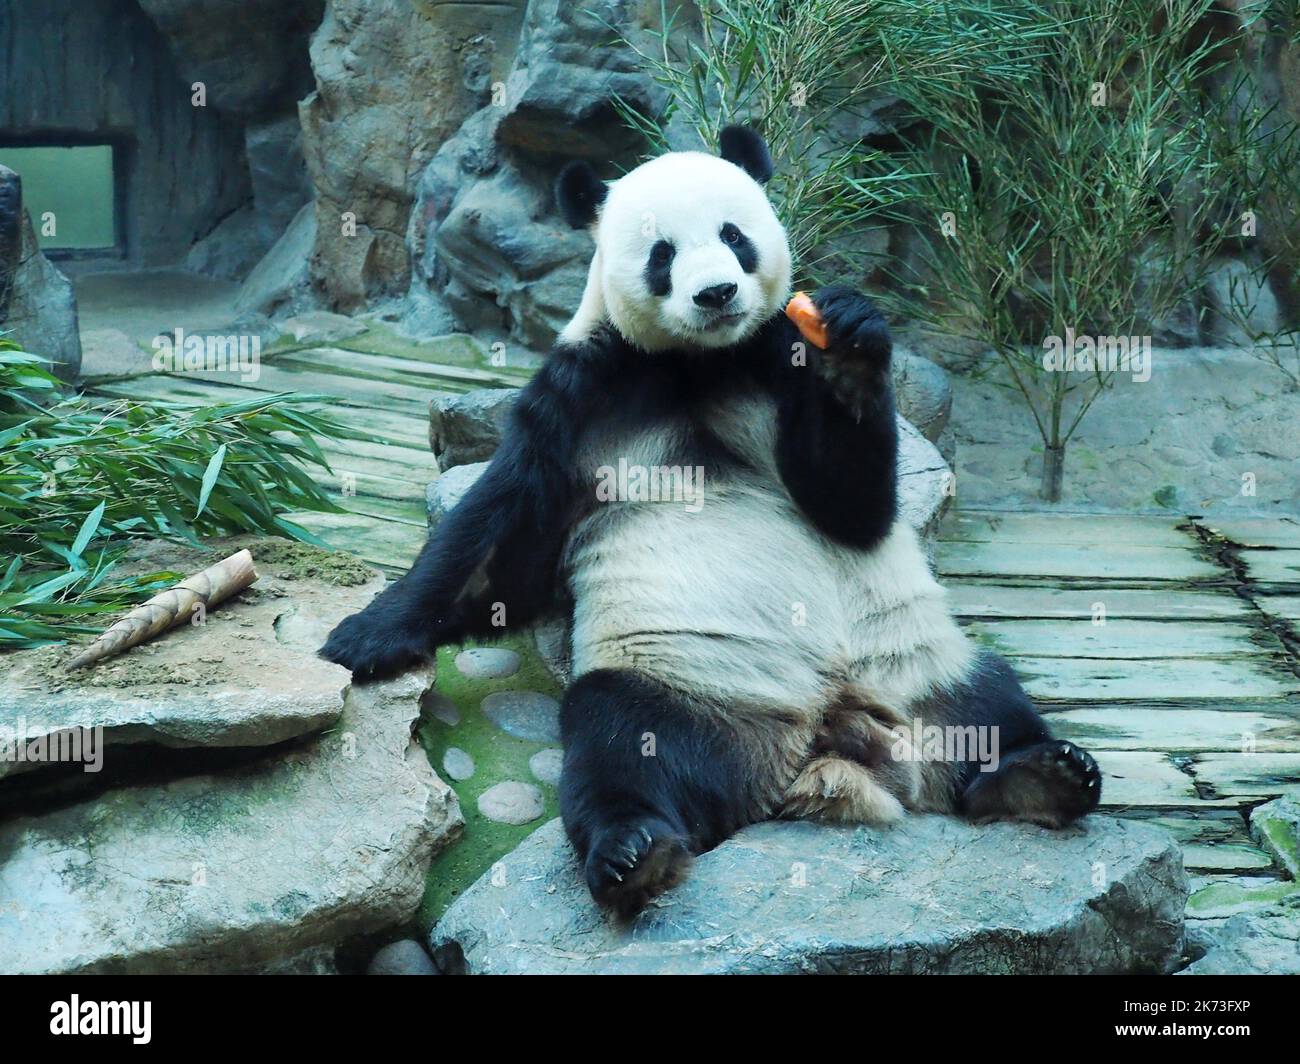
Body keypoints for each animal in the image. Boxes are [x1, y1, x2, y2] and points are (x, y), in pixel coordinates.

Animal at [320, 126, 1102, 919]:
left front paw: (852, 345)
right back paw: (633, 853)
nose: (716, 293)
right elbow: (499, 542)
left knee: (987, 699)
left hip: (913, 663)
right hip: (687, 680)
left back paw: (1041, 775)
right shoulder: (584, 392)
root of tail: (826, 746)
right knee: (621, 742)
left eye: (734, 235)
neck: (699, 360)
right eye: (662, 253)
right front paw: (362, 638)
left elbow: (851, 506)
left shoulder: (774, 361)